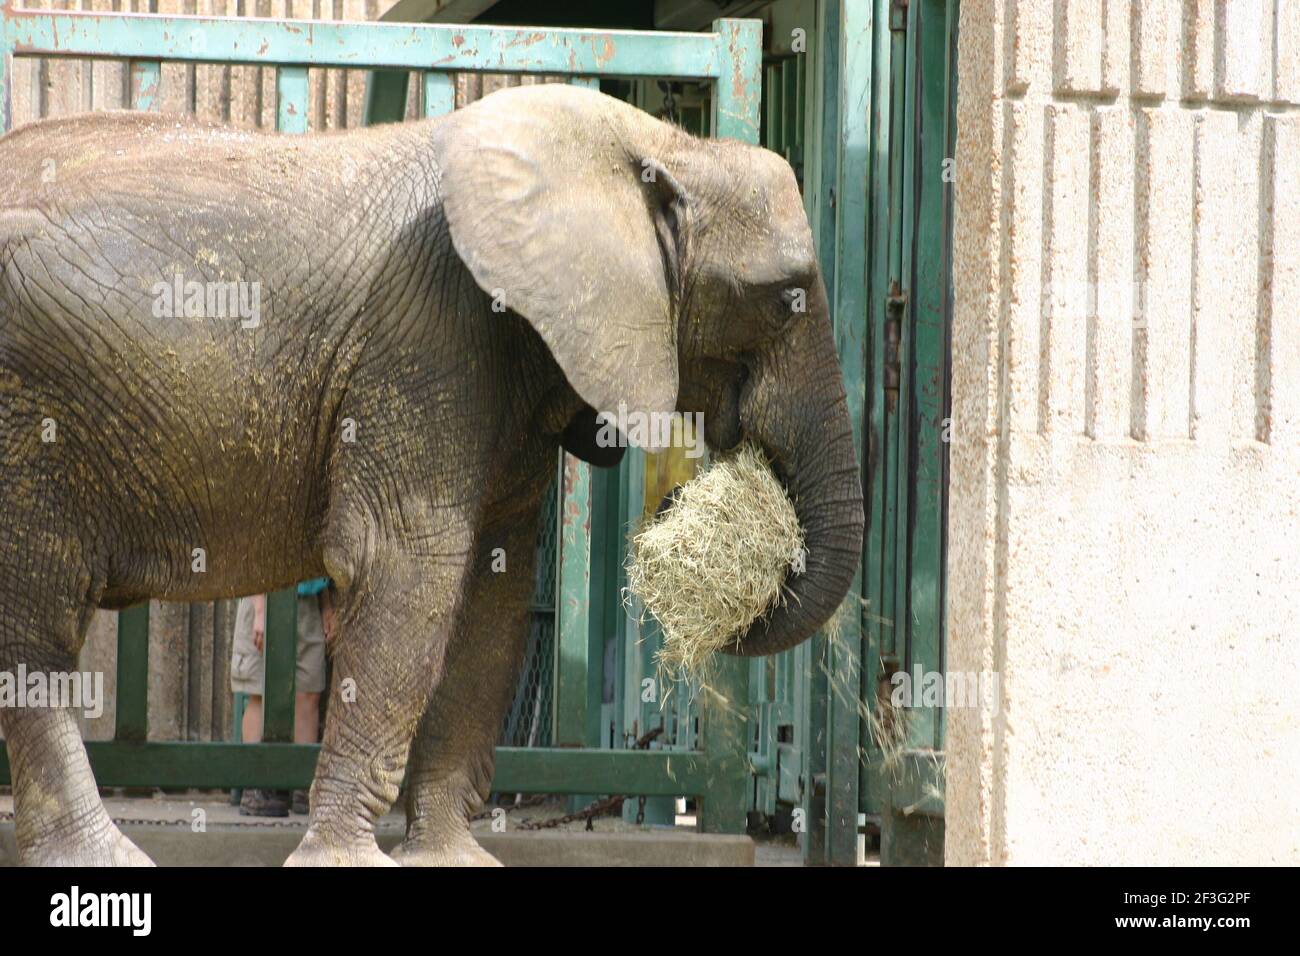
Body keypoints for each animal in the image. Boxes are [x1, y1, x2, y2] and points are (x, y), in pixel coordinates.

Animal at [0, 83, 864, 866]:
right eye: (785, 298)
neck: (661, 146)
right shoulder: (425, 337)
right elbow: (407, 571)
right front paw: (345, 862)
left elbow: (495, 590)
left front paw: (452, 859)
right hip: (29, 422)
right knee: (35, 625)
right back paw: (100, 859)